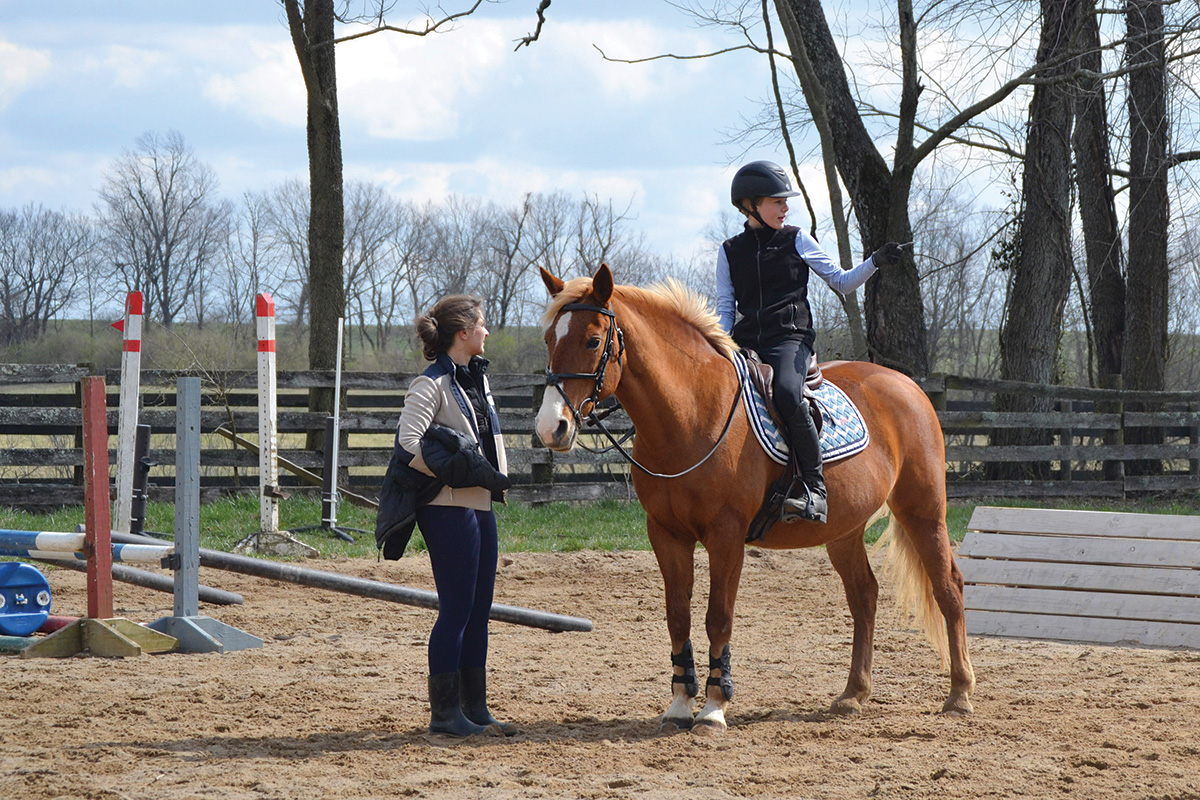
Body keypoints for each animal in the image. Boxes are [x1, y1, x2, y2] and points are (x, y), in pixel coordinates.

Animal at [534, 264, 975, 735]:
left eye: (592, 340)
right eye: (548, 340)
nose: (550, 428)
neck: (691, 414)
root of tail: (906, 385)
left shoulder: (726, 535)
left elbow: (718, 616)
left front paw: (713, 708)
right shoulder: (666, 534)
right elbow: (678, 614)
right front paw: (679, 704)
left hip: (922, 511)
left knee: (949, 588)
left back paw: (959, 695)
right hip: (844, 530)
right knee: (864, 596)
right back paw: (853, 694)